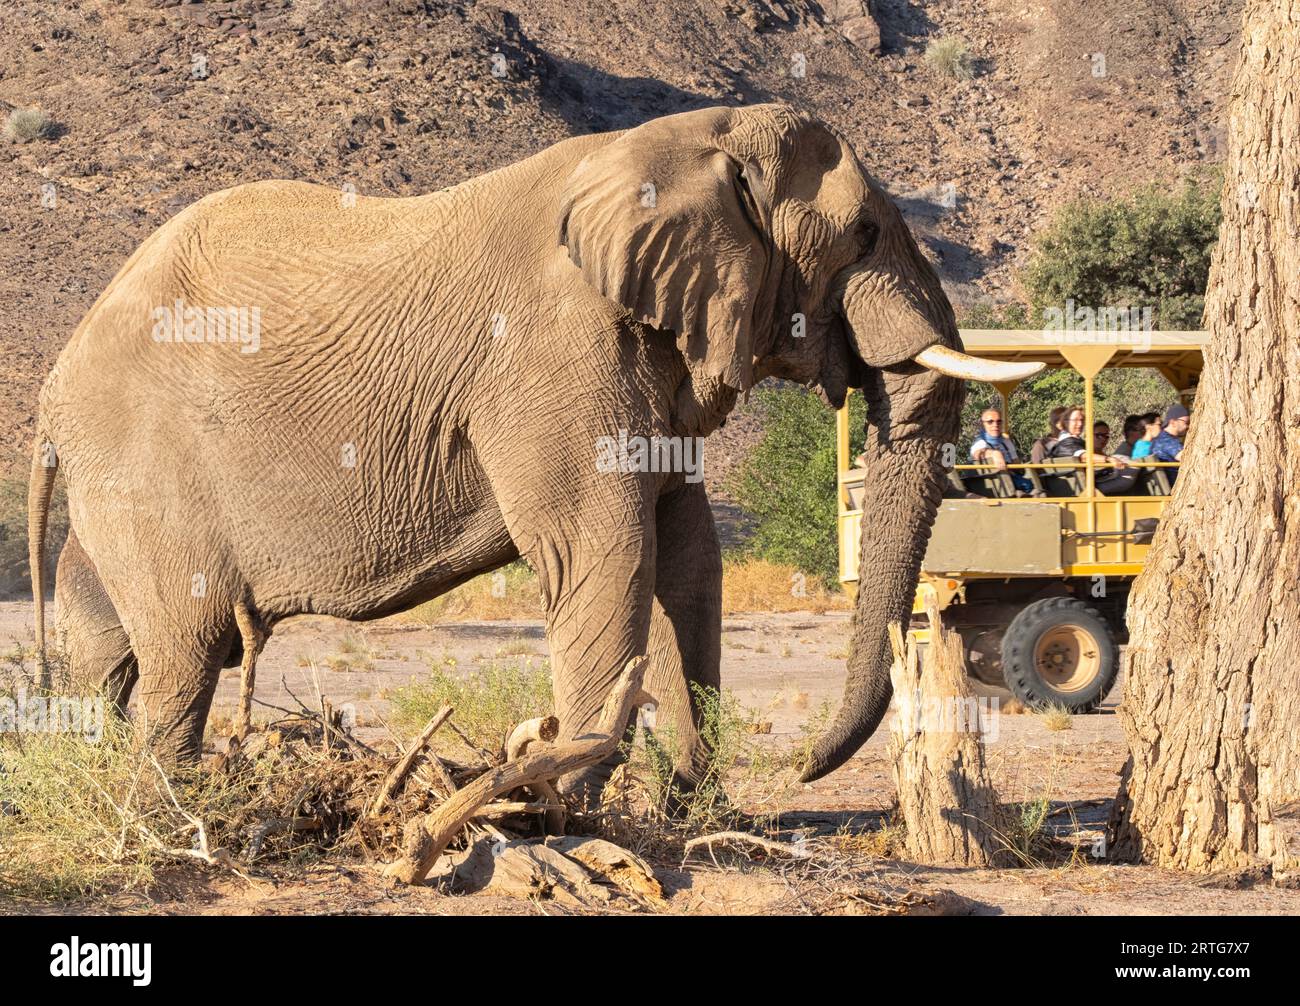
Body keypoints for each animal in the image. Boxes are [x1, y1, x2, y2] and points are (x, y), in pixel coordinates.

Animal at [27, 103, 1038, 795]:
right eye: (862, 234)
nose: (803, 772)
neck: (682, 143)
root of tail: (53, 386)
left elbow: (686, 555)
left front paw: (687, 809)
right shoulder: (554, 353)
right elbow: (608, 552)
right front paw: (573, 806)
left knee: (112, 652)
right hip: (140, 460)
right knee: (186, 651)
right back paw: (173, 805)